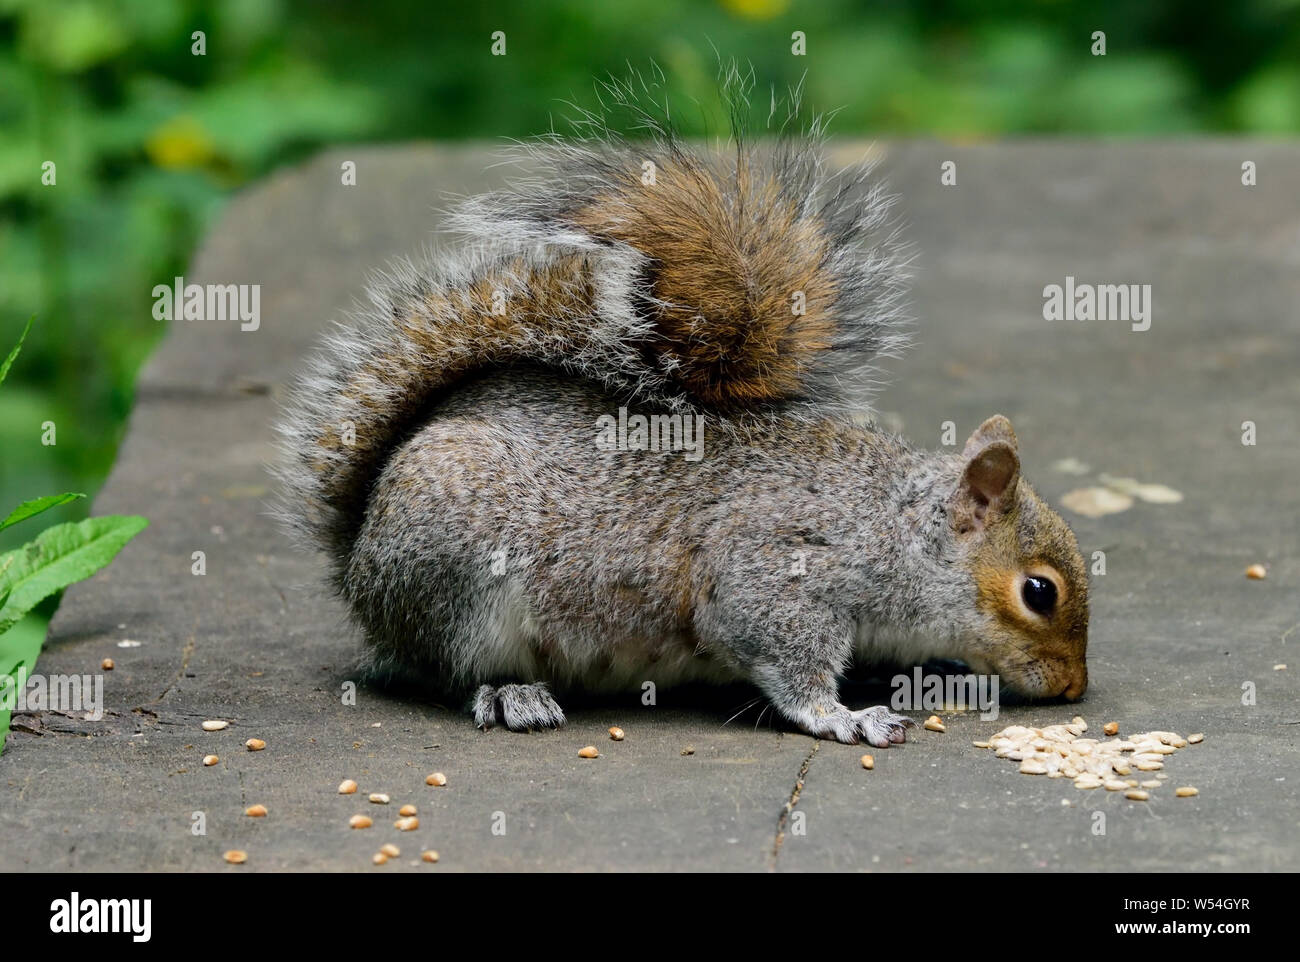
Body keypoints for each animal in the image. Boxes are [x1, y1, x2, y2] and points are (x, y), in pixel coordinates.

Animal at [275, 80, 1089, 747]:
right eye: (1038, 592)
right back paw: (510, 694)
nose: (1074, 688)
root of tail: (358, 565)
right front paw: (844, 716)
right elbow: (781, 653)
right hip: (454, 571)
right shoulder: (780, 567)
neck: (897, 528)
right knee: (447, 664)